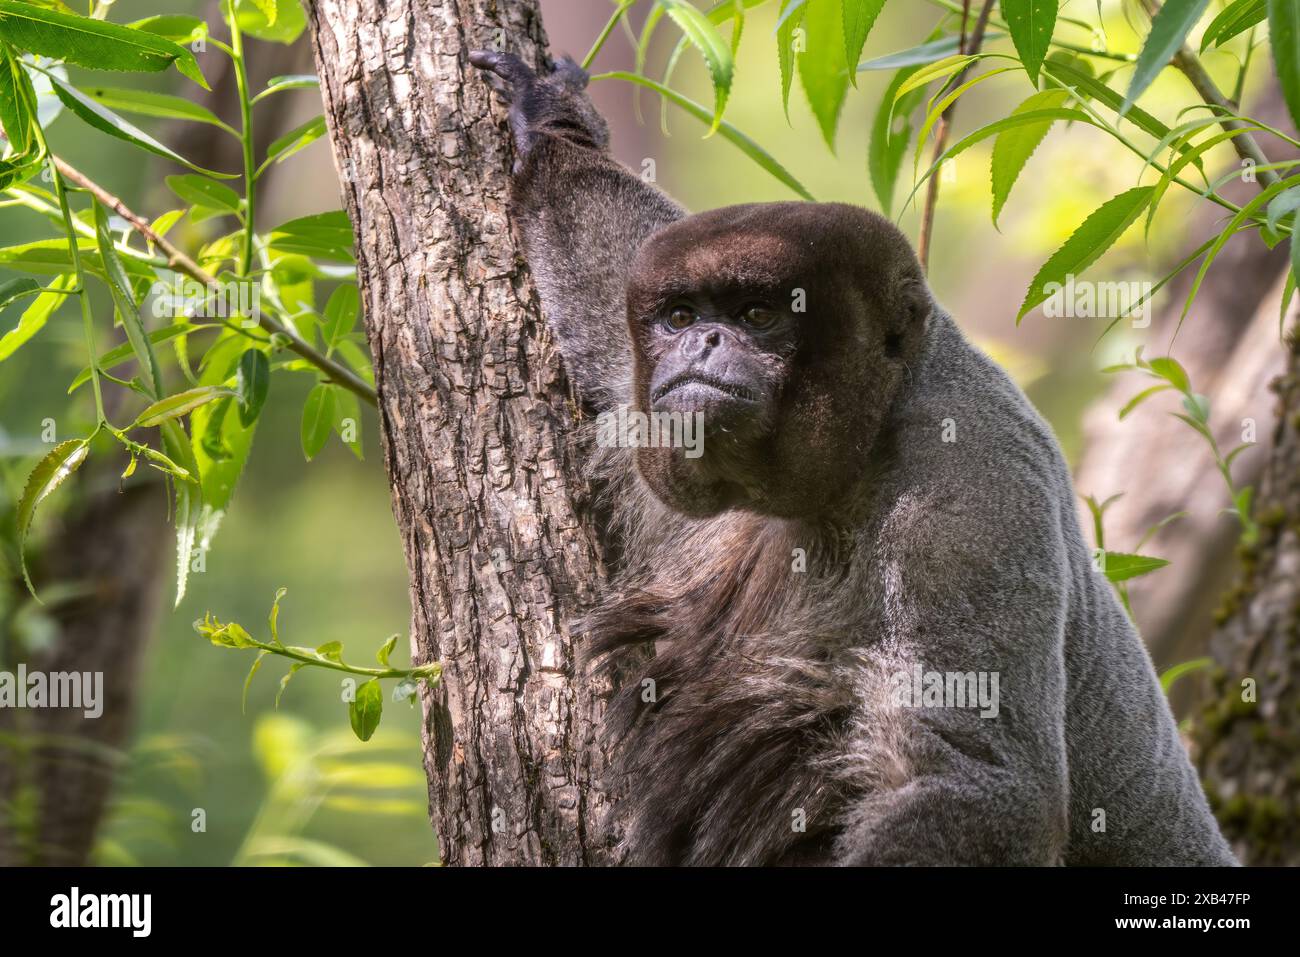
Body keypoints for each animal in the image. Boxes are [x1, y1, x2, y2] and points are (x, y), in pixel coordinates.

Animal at [469, 49, 1237, 867]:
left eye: (759, 315)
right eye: (679, 315)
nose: (702, 342)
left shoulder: (965, 496)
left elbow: (979, 783)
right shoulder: (637, 381)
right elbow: (602, 277)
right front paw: (553, 124)